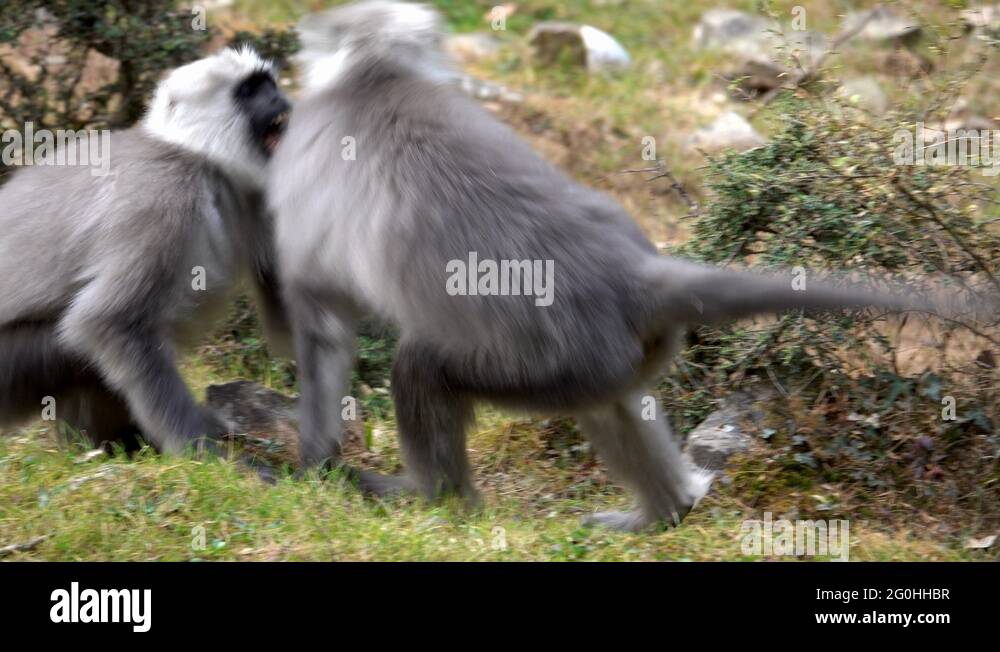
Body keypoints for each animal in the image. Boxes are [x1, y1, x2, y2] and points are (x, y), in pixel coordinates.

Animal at [0, 47, 292, 454]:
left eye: (269, 85)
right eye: (250, 91)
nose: (280, 100)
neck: (200, 159)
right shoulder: (162, 197)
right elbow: (109, 321)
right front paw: (201, 450)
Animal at [268, 2, 952, 530]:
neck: (375, 75)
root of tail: (631, 274)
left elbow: (322, 322)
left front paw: (313, 465)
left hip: (540, 360)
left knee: (421, 368)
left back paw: (437, 500)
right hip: (607, 359)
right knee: (614, 405)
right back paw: (664, 512)